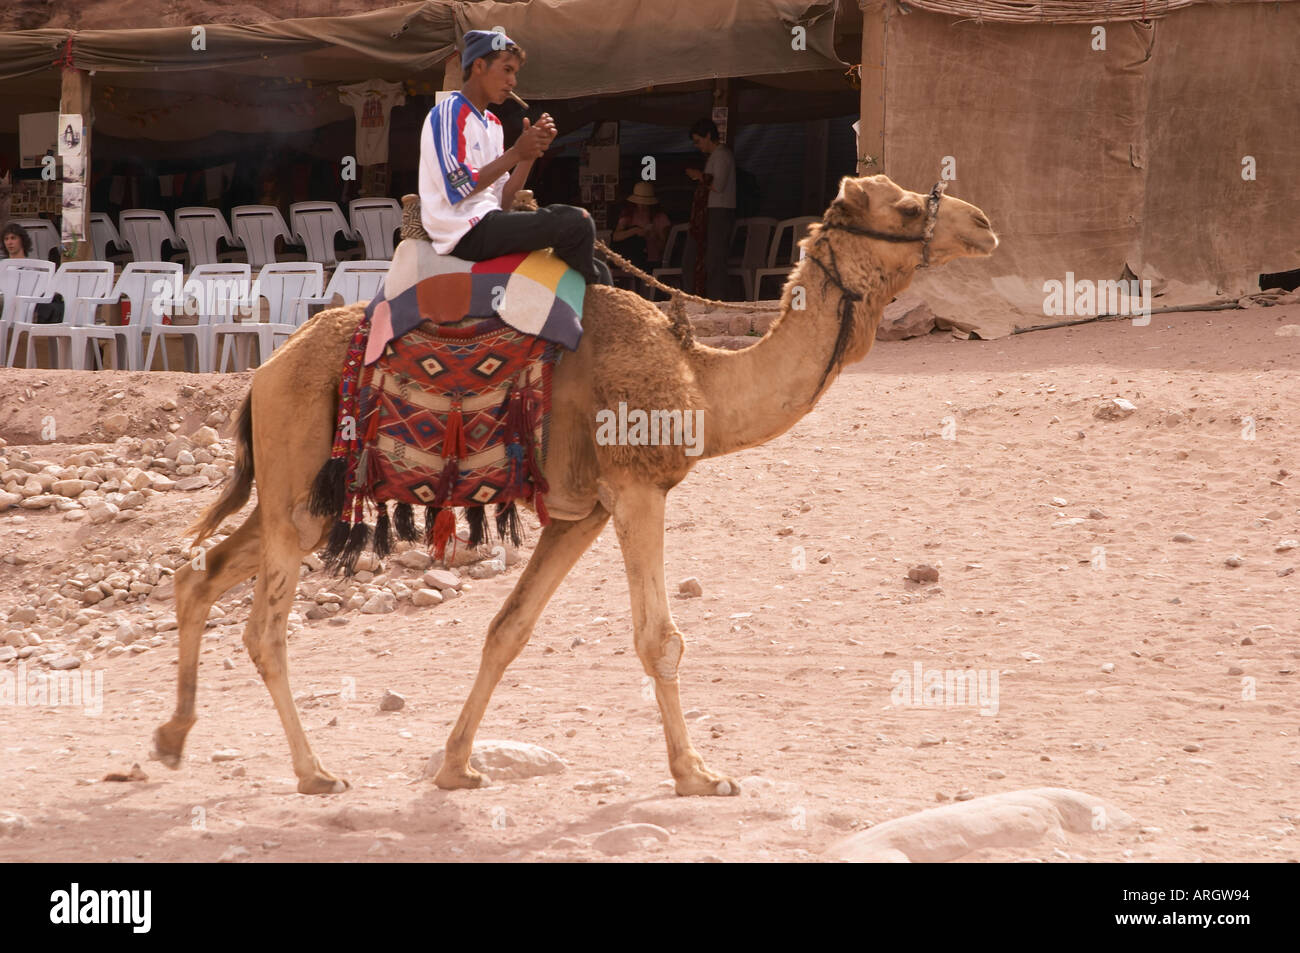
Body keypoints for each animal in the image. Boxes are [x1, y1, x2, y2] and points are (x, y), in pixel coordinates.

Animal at [152, 174, 997, 795]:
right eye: (910, 205)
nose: (986, 223)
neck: (702, 381)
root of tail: (263, 372)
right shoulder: (638, 489)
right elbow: (660, 639)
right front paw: (698, 773)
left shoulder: (579, 512)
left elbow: (507, 629)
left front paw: (456, 766)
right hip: (301, 487)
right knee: (262, 627)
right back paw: (314, 771)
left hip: (299, 496)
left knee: (203, 571)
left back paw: (172, 738)